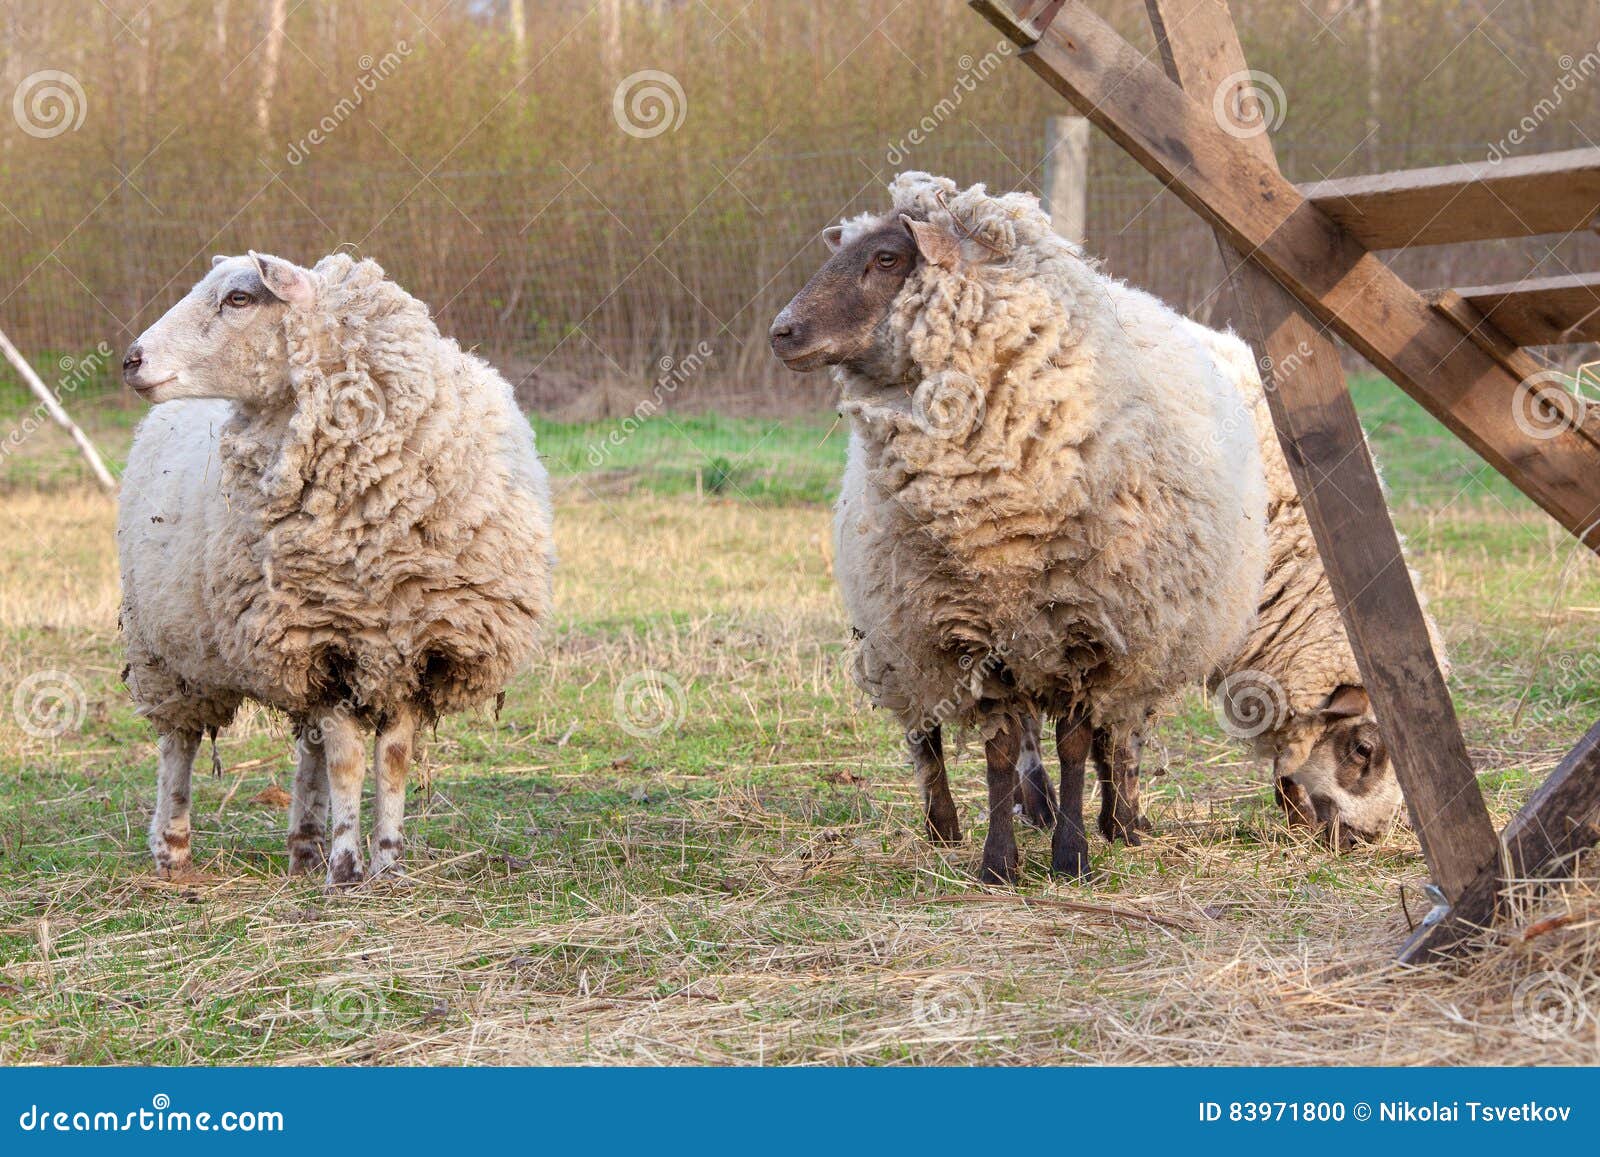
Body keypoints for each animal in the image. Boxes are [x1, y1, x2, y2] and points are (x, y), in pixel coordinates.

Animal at [118, 251, 553, 887]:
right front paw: (347, 870)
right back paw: (173, 850)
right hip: (163, 648)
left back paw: (305, 846)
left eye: (239, 298)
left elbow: (391, 759)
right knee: (180, 743)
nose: (131, 360)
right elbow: (348, 759)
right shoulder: (319, 638)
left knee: (308, 748)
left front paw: (387, 863)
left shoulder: (412, 646)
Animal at [770, 172, 1269, 882]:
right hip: (901, 634)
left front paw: (1073, 852)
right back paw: (946, 825)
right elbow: (1002, 752)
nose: (782, 332)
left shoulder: (1091, 635)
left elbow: (1075, 745)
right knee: (927, 734)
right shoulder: (969, 636)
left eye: (888, 258)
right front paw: (998, 861)